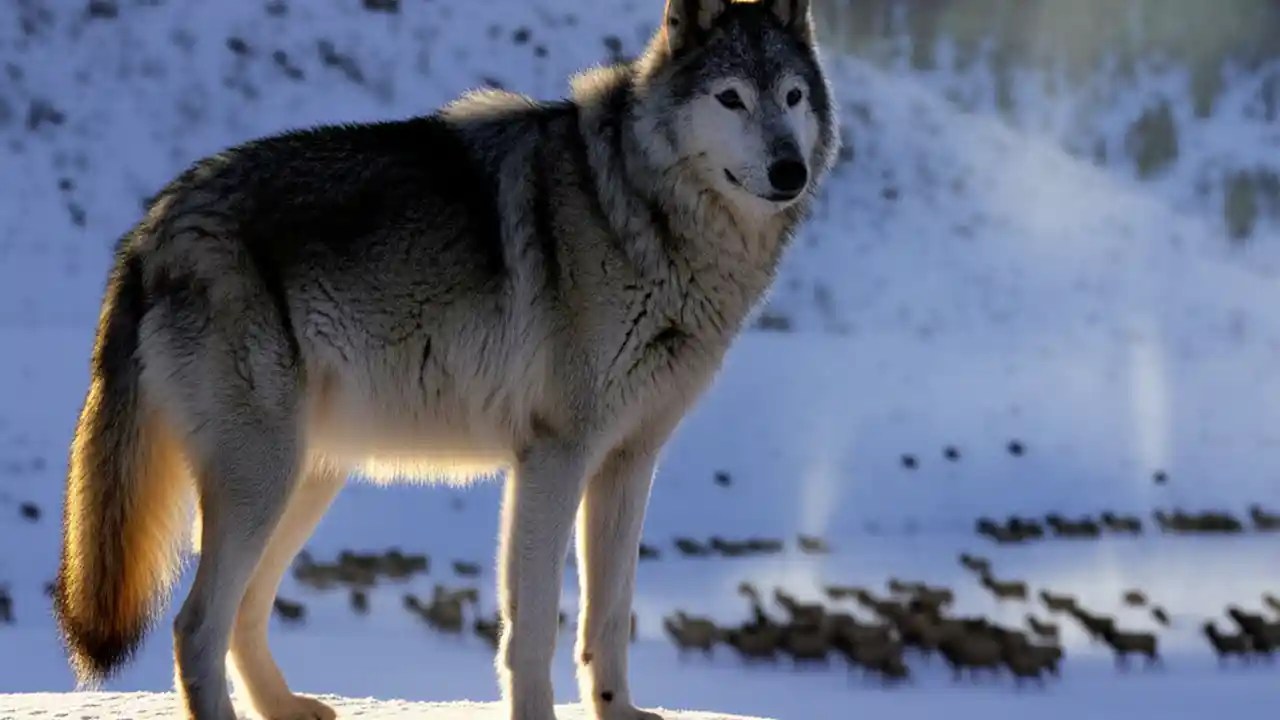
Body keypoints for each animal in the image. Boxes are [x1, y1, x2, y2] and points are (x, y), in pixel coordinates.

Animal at [53, 1, 838, 718]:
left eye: (791, 98)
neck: (639, 215)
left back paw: (288, 706)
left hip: (304, 480)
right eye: (730, 97)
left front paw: (618, 712)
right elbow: (533, 627)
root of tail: (150, 230)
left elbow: (609, 616)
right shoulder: (553, 458)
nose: (789, 170)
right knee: (195, 626)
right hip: (264, 482)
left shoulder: (628, 462)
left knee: (243, 613)